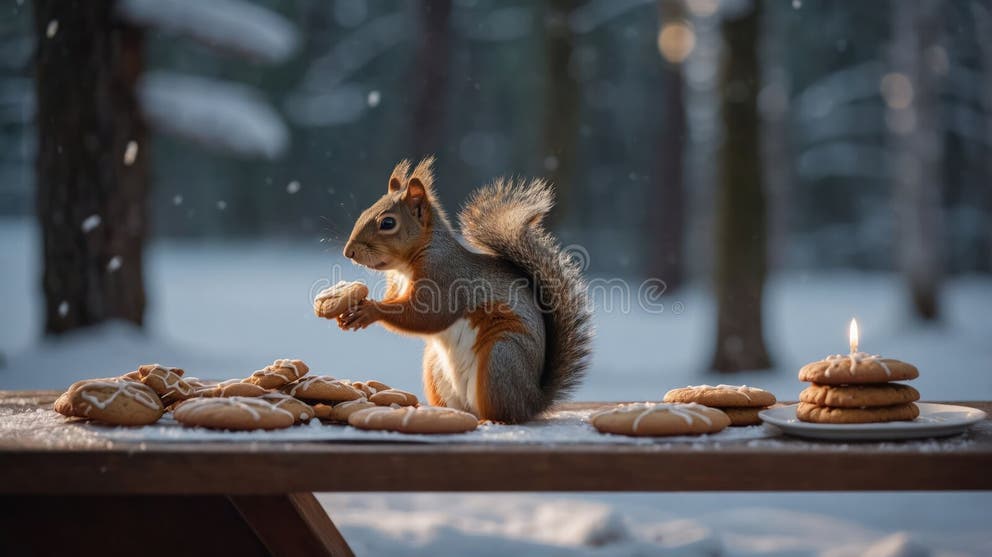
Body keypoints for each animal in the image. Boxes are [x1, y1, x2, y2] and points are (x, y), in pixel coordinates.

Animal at [339, 157, 592, 423]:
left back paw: (490, 420)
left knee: (503, 410)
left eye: (387, 223)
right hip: (435, 370)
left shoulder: (444, 279)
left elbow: (426, 315)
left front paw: (369, 310)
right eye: (364, 212)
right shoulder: (397, 286)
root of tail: (534, 400)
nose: (349, 252)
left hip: (500, 360)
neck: (405, 266)